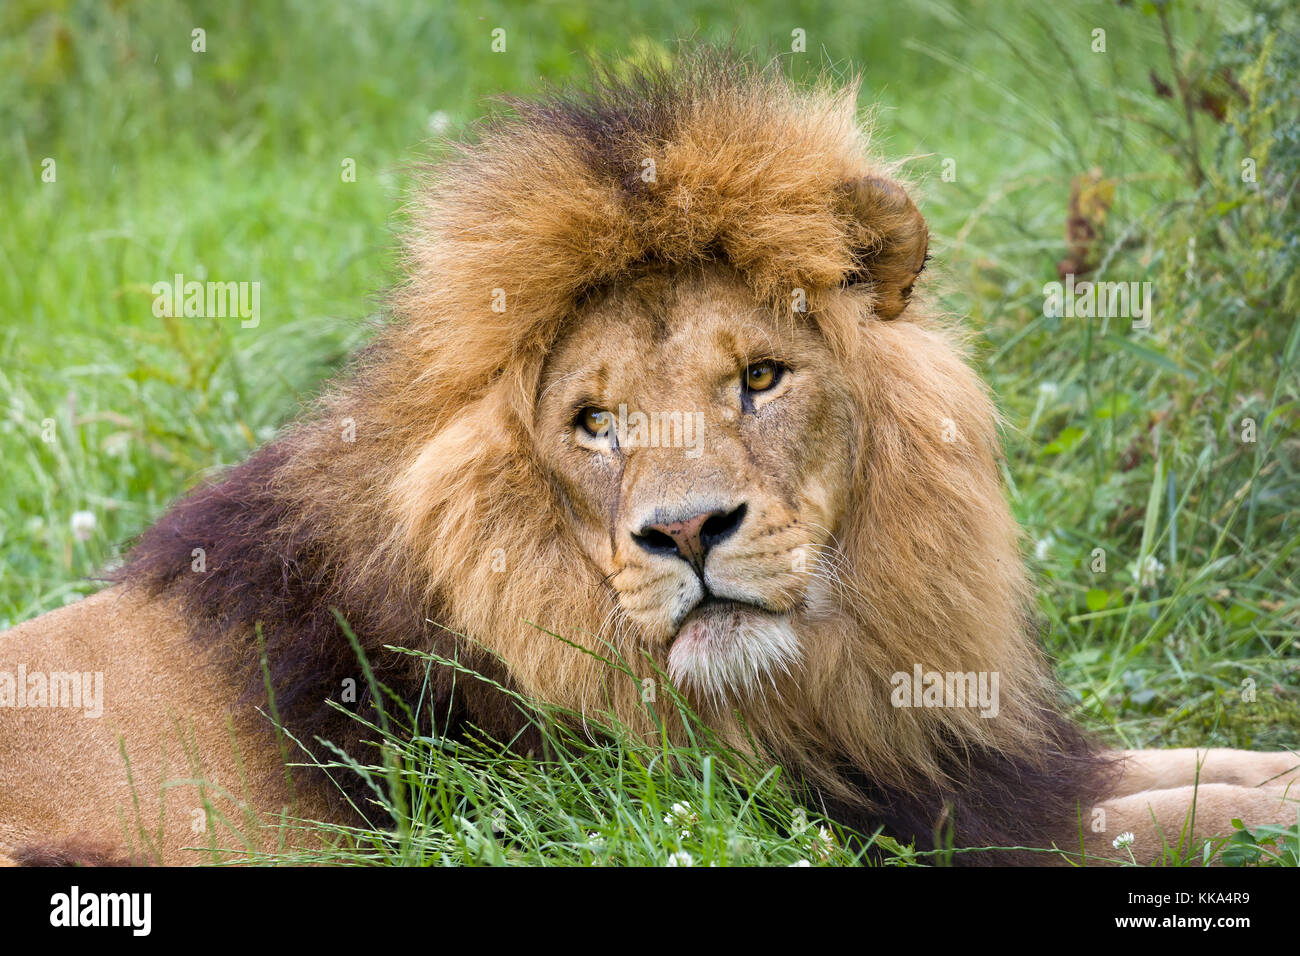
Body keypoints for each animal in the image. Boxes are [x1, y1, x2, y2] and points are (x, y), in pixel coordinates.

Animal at [1, 55, 1296, 867]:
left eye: (761, 379)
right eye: (595, 422)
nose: (685, 532)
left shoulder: (940, 748)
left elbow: (1179, 762)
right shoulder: (832, 814)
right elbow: (1144, 821)